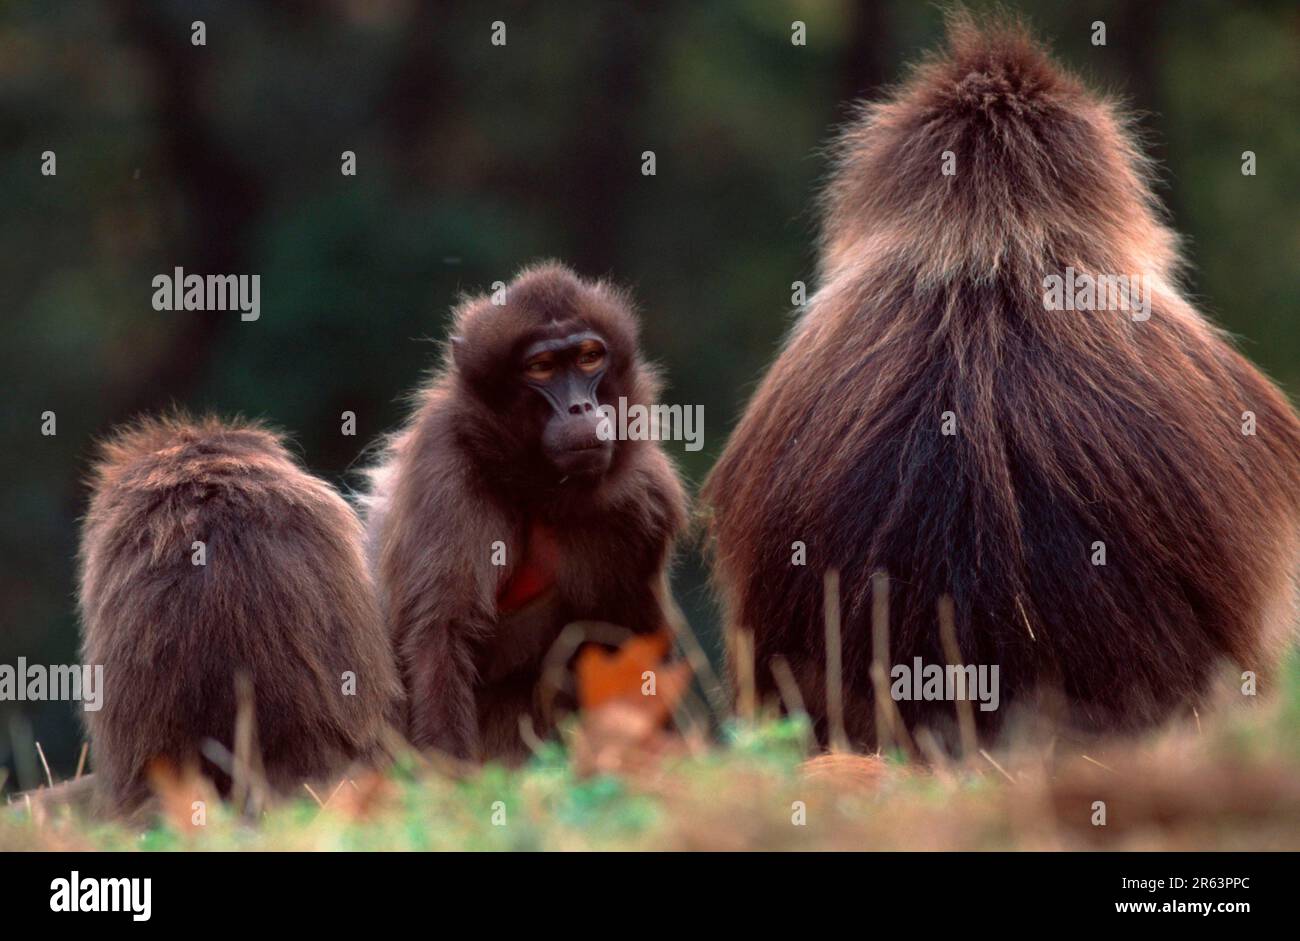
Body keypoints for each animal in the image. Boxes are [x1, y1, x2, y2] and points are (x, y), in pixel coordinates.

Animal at [363, 263, 688, 763]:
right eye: (541, 367)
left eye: (589, 357)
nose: (580, 406)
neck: (538, 491)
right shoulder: (445, 467)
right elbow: (441, 634)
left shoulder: (643, 499)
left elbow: (635, 642)